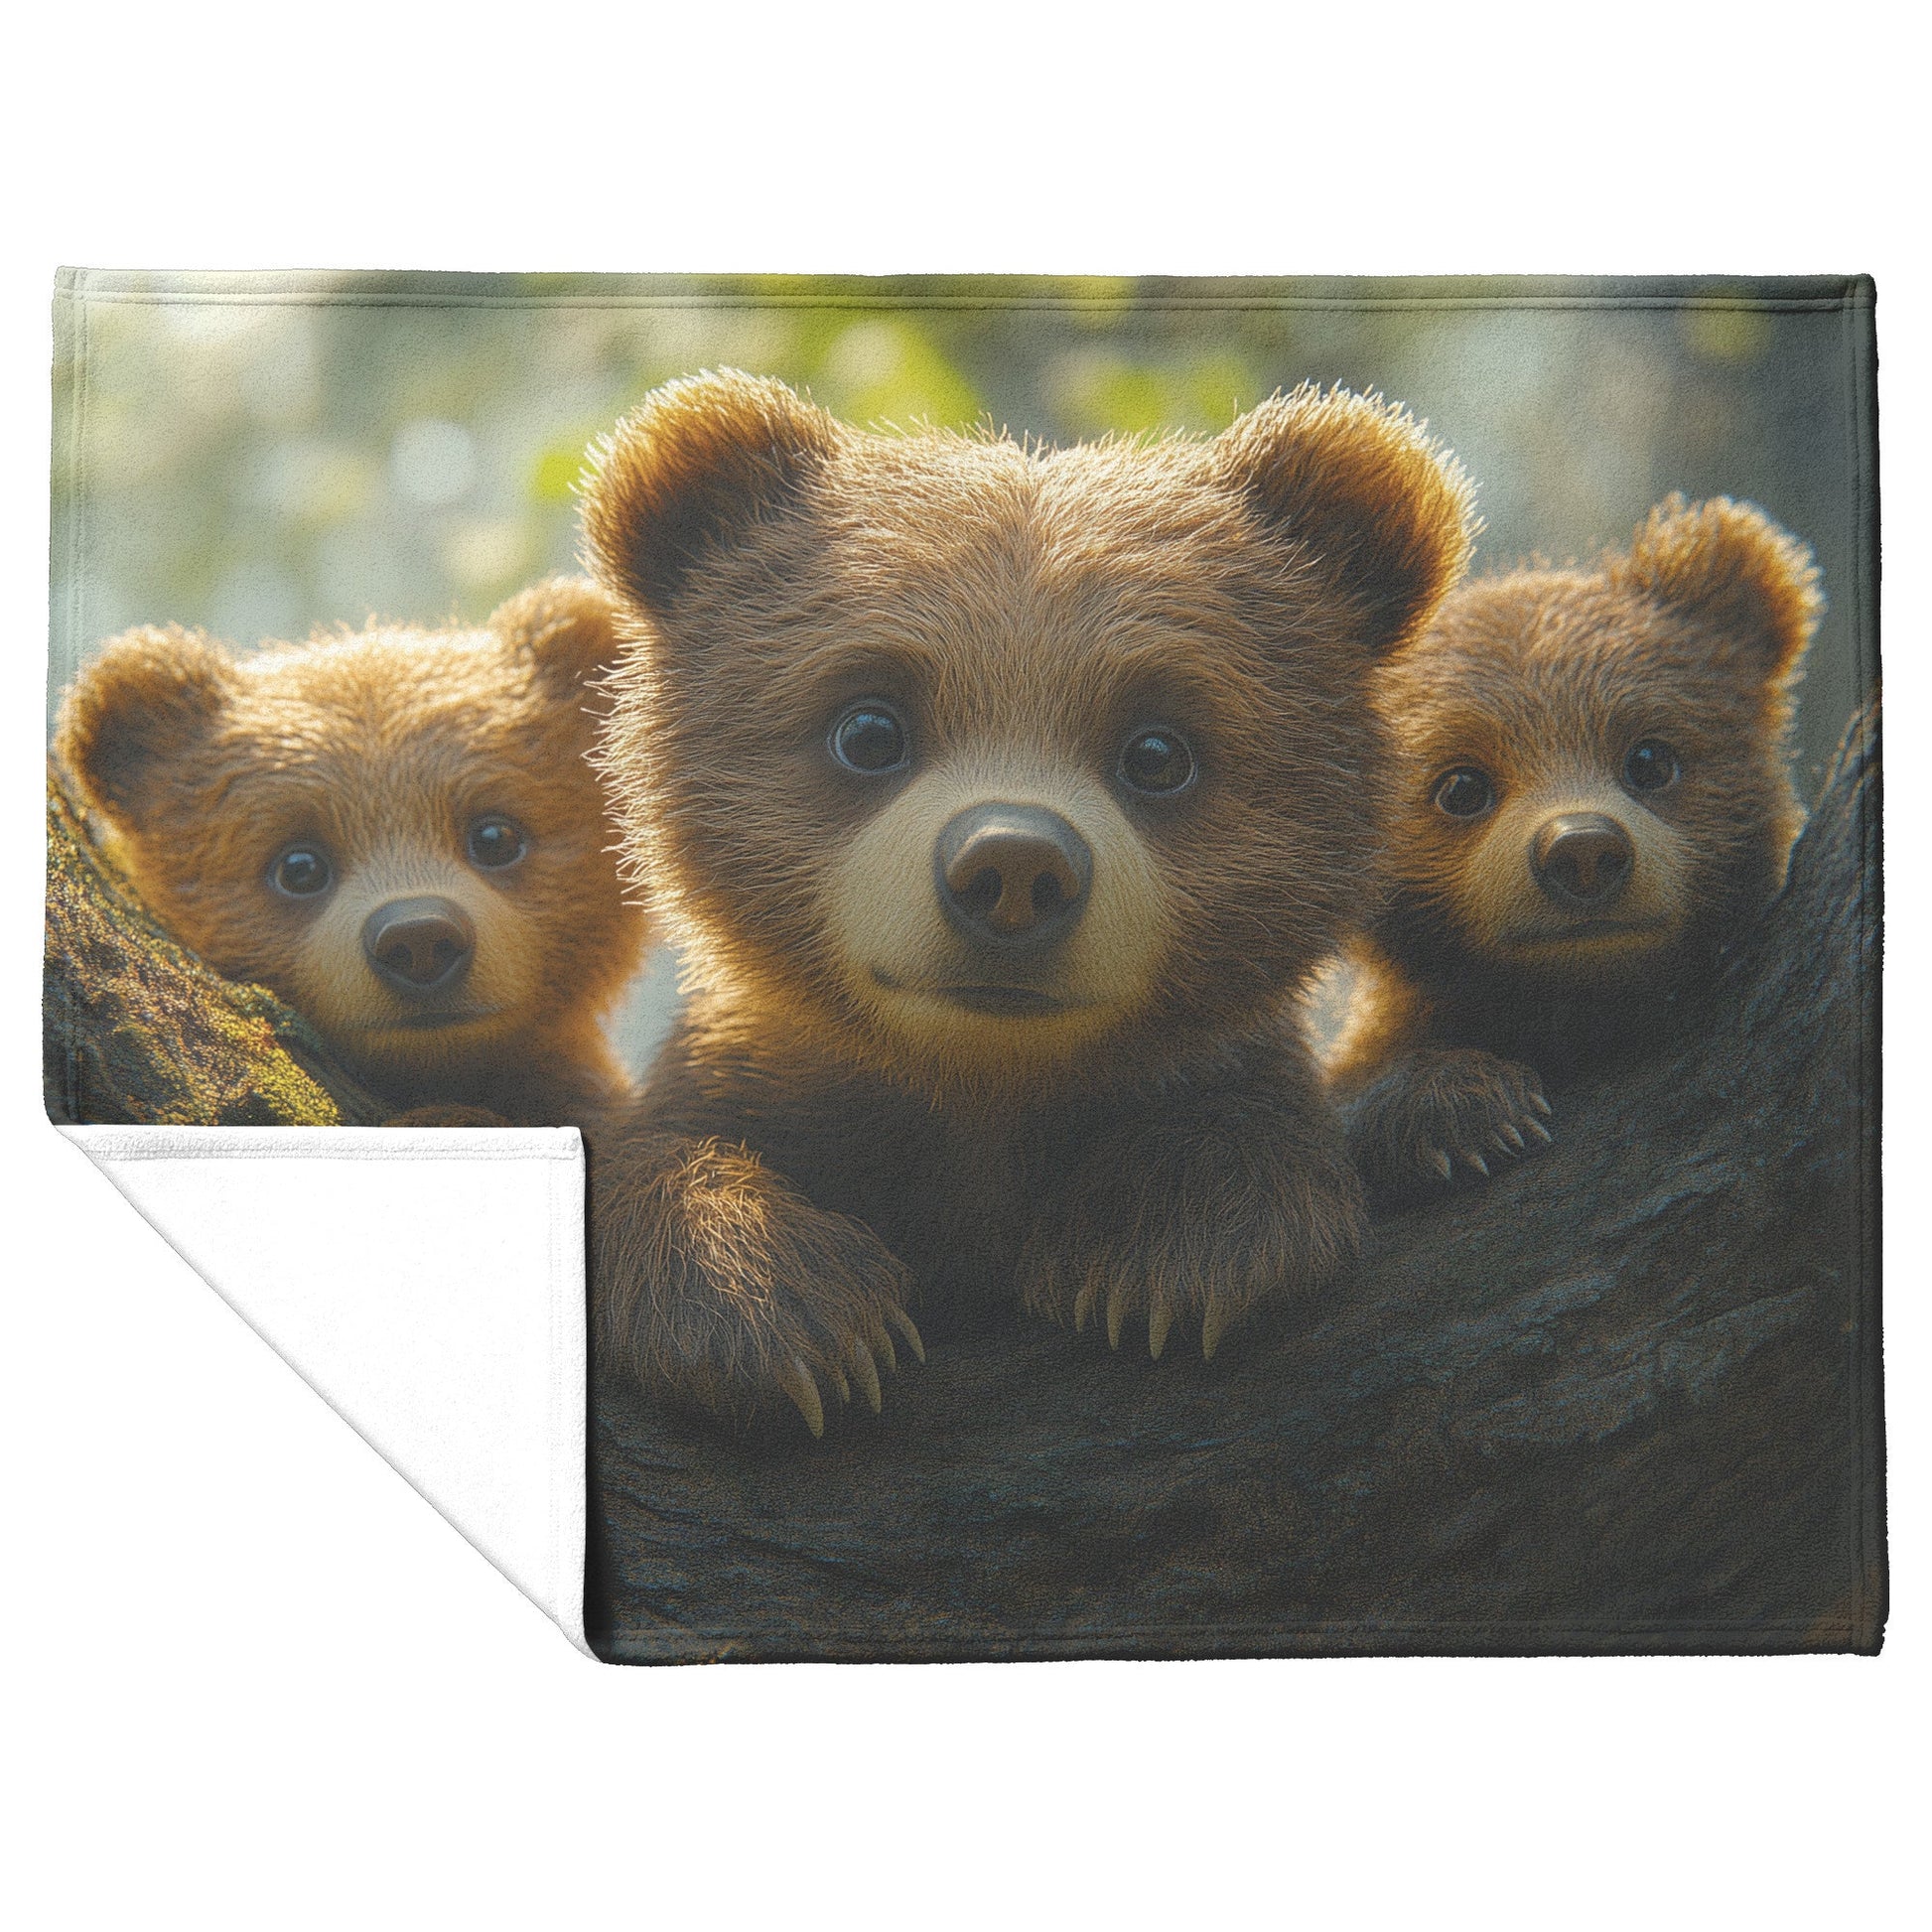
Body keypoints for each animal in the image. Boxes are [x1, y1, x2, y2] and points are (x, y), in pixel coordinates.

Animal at [578, 368, 1476, 1433]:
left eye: (1158, 750)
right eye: (870, 726)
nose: (1011, 868)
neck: (981, 1096)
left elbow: (1234, 1147)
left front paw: (1164, 1249)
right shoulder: (763, 1088)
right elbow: (671, 1168)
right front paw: (781, 1309)